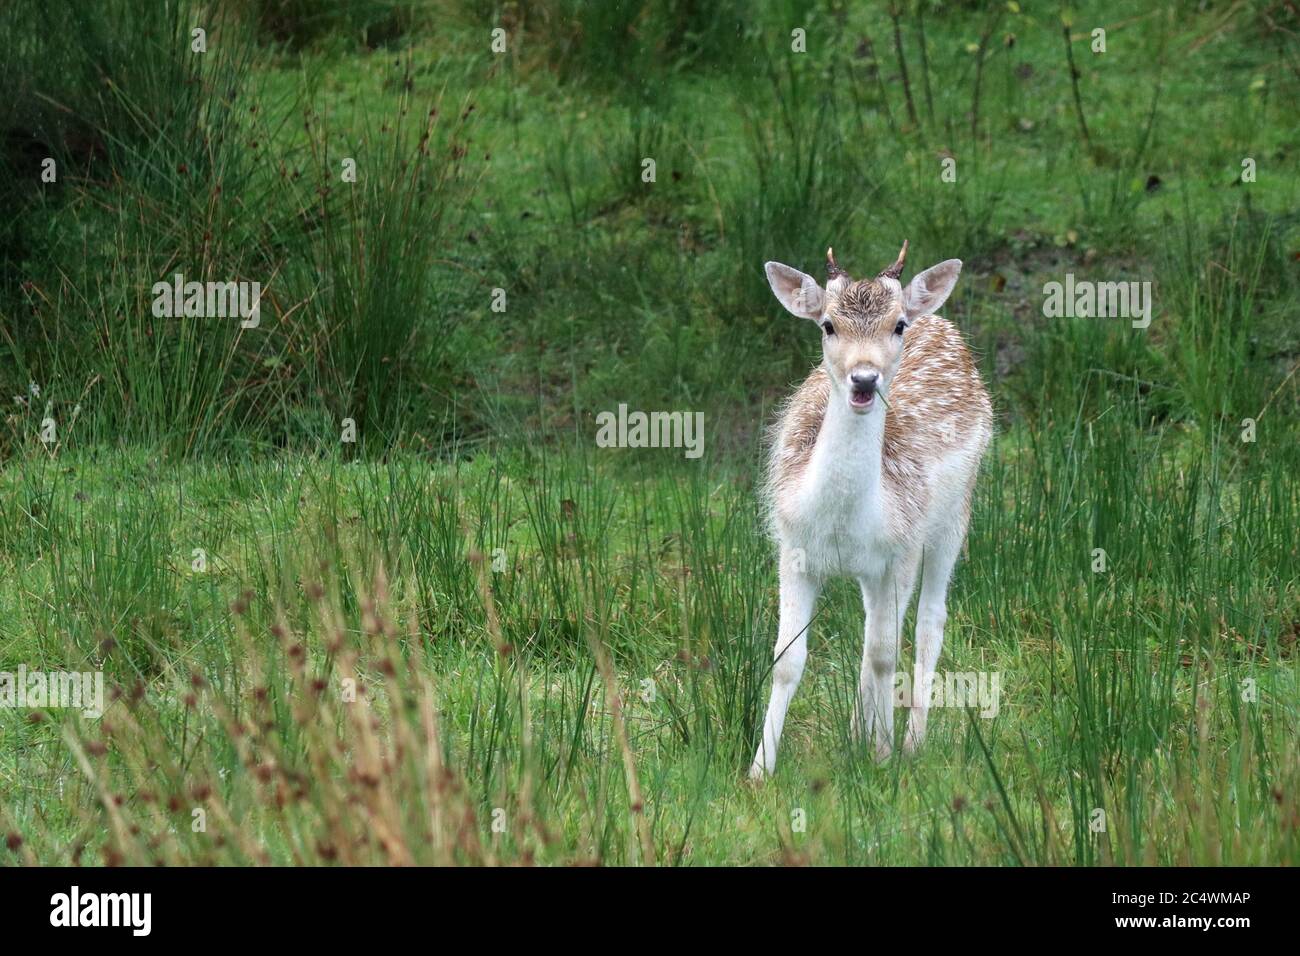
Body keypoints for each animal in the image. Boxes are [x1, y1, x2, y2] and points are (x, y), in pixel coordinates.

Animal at [749, 241, 992, 780]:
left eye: (897, 325)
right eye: (827, 325)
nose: (864, 377)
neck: (842, 522)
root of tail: (938, 319)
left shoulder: (901, 550)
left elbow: (885, 653)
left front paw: (883, 756)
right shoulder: (793, 548)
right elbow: (788, 657)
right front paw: (758, 770)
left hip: (954, 515)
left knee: (926, 623)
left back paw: (911, 741)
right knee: (871, 628)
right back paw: (858, 732)